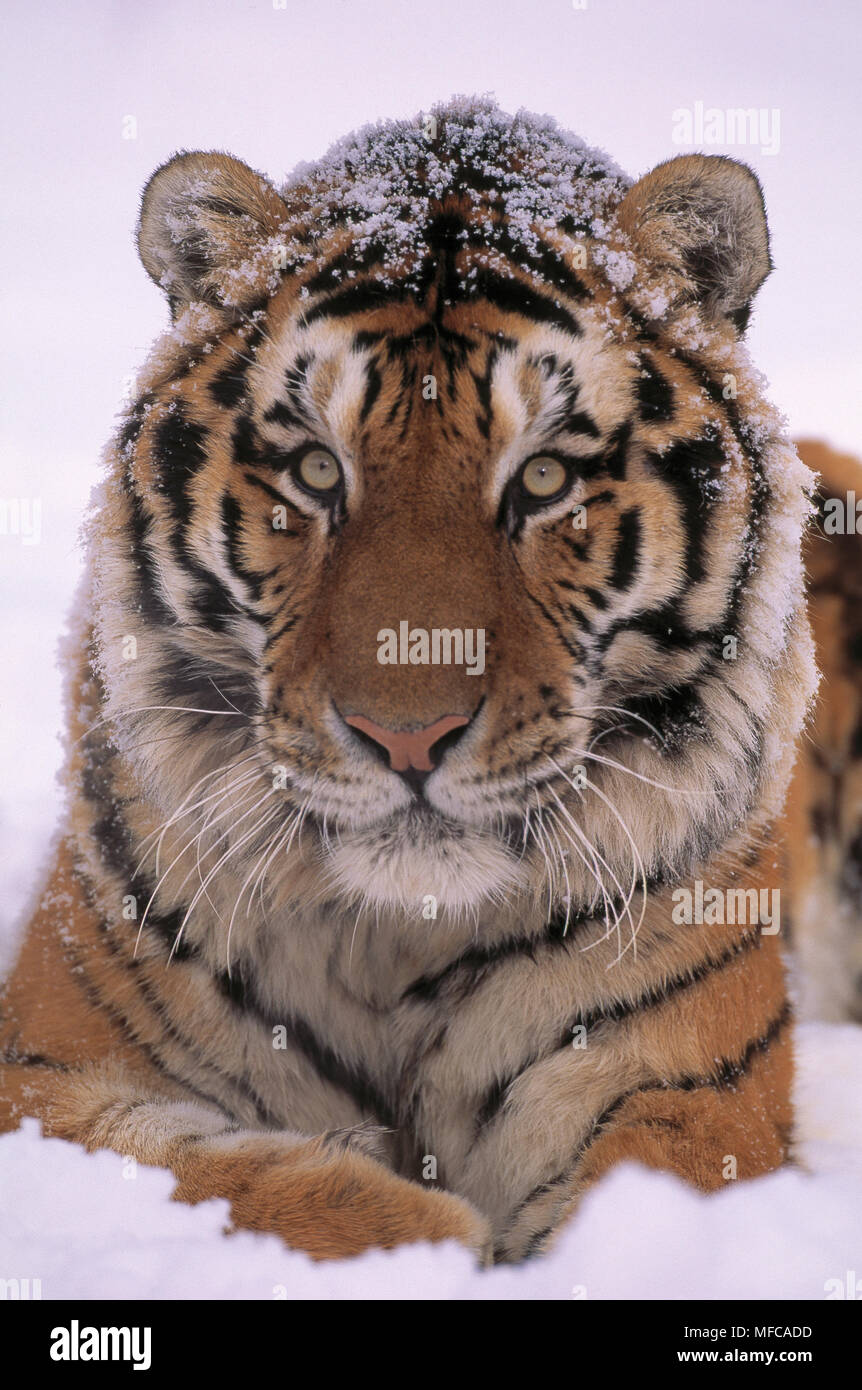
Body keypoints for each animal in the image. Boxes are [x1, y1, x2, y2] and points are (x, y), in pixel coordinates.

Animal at [0, 96, 824, 1264]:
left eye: (544, 478)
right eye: (314, 470)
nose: (406, 738)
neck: (398, 940)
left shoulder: (694, 1090)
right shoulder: (49, 1074)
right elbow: (227, 1179)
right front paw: (437, 1237)